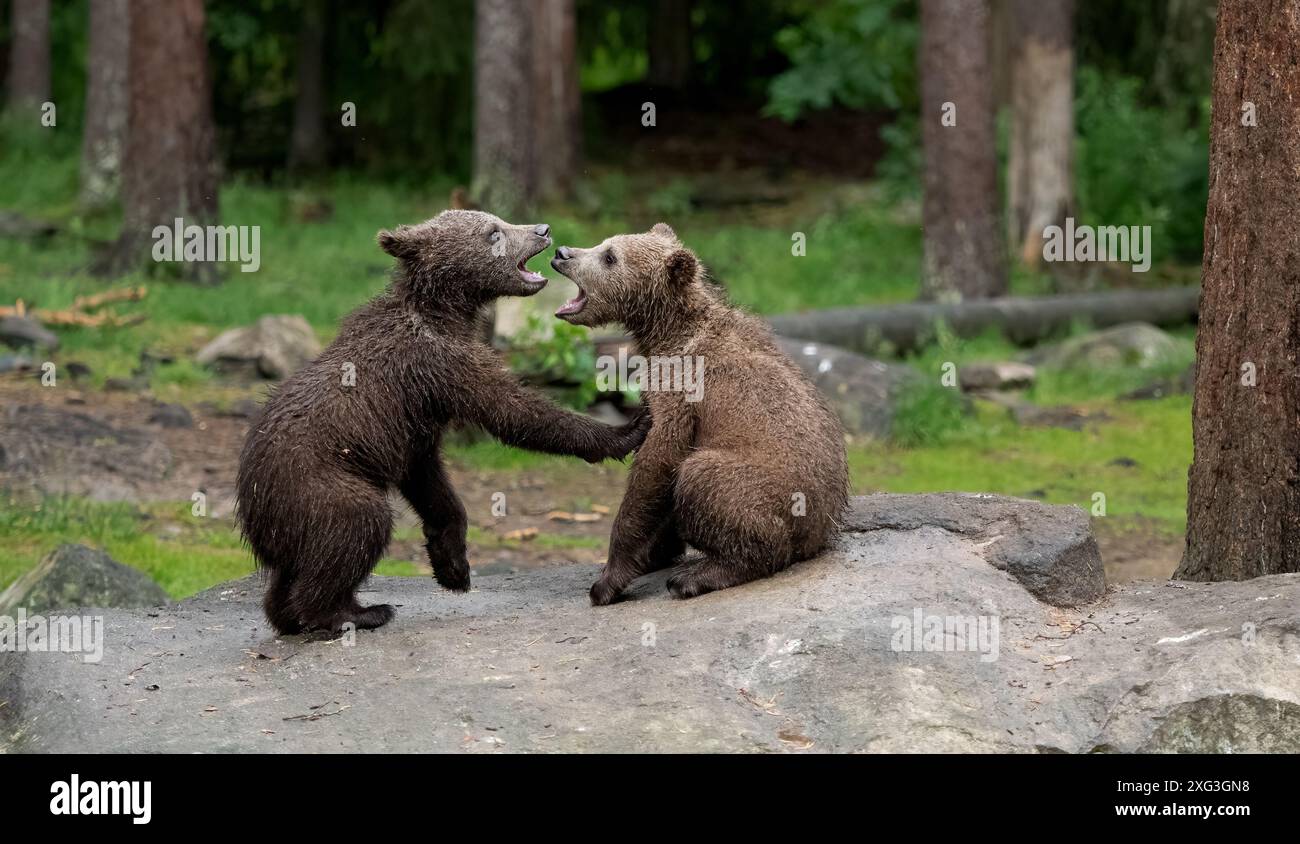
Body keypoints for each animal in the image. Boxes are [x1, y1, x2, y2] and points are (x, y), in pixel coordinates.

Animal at [236, 210, 649, 634]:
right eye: (494, 232)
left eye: (498, 221)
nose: (542, 230)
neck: (446, 312)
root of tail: (252, 502)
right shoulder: (440, 366)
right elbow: (515, 411)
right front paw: (628, 429)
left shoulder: (417, 420)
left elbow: (432, 485)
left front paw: (453, 568)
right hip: (321, 485)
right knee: (357, 526)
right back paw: (356, 611)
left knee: (290, 571)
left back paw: (287, 615)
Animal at [550, 223, 849, 604]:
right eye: (604, 244)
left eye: (609, 256)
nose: (562, 253)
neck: (664, 332)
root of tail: (821, 529)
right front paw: (654, 553)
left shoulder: (680, 391)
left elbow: (657, 463)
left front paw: (608, 580)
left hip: (773, 490)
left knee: (703, 478)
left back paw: (697, 575)